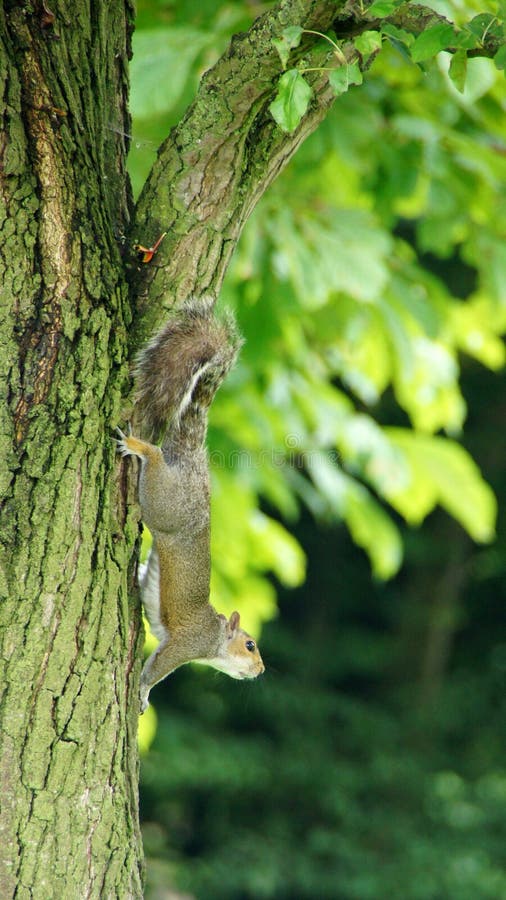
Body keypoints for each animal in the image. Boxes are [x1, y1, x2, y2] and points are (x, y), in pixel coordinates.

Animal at [117, 298, 265, 712]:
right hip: (165, 503)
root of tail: (193, 461)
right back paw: (137, 446)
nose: (261, 670)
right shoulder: (185, 645)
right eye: (250, 645)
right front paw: (143, 693)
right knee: (153, 456)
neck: (215, 635)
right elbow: (156, 669)